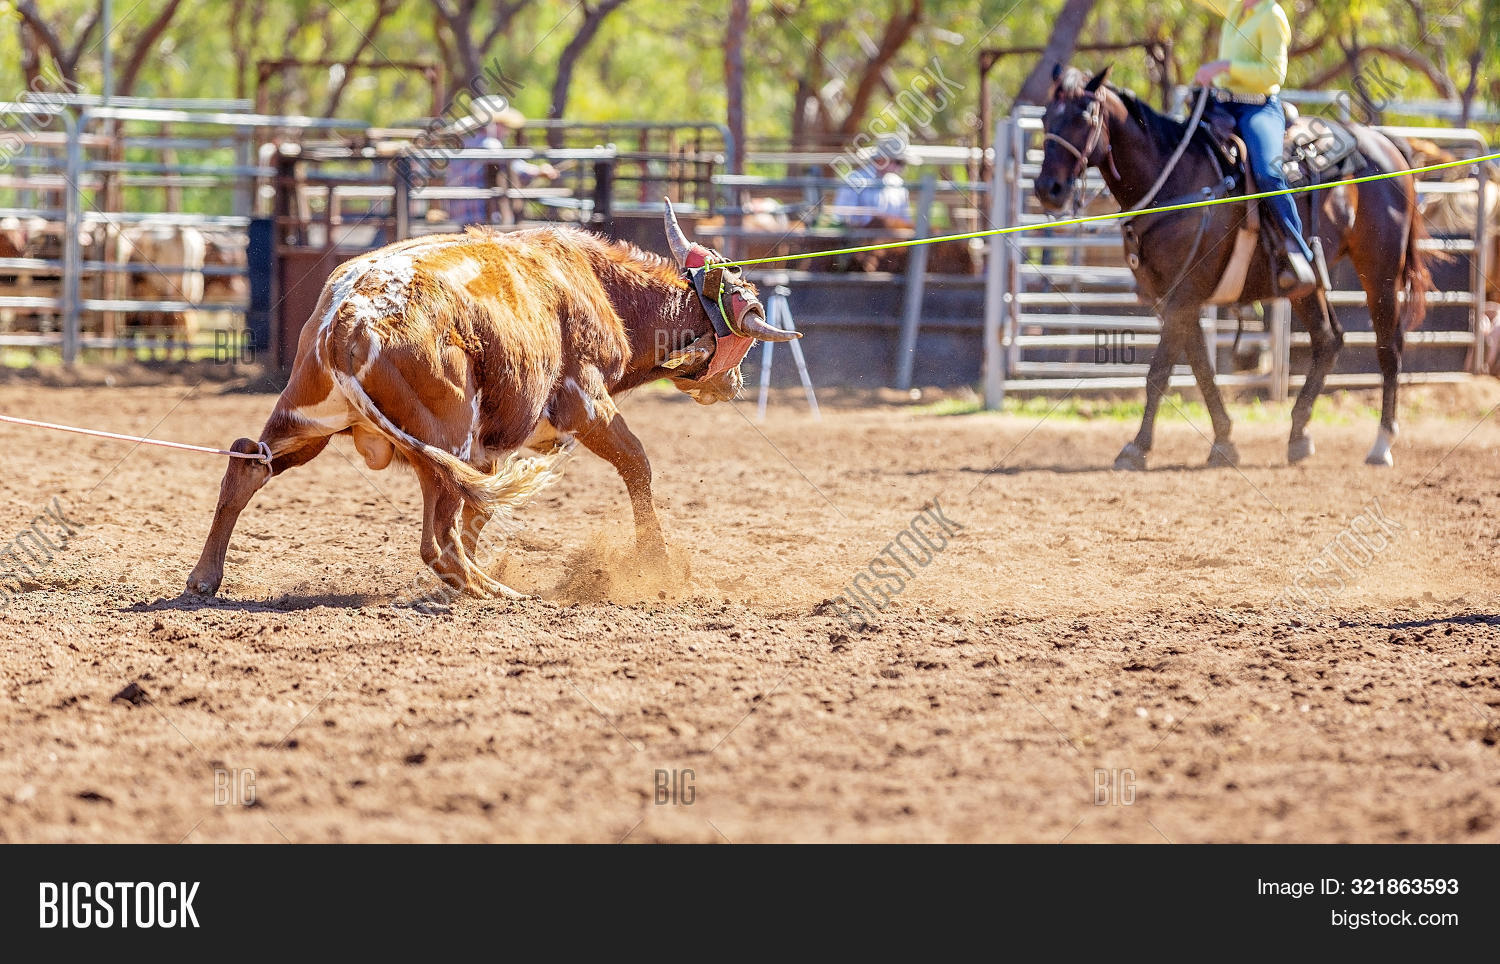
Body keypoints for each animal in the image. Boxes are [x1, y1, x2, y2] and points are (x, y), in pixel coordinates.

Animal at [186, 206, 800, 599]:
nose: (732, 384)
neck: (596, 286)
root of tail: (348, 319)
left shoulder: (498, 448)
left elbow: (482, 510)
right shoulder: (584, 404)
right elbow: (636, 464)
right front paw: (658, 565)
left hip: (307, 417)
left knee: (247, 462)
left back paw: (204, 578)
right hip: (443, 438)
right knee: (439, 537)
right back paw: (494, 591)